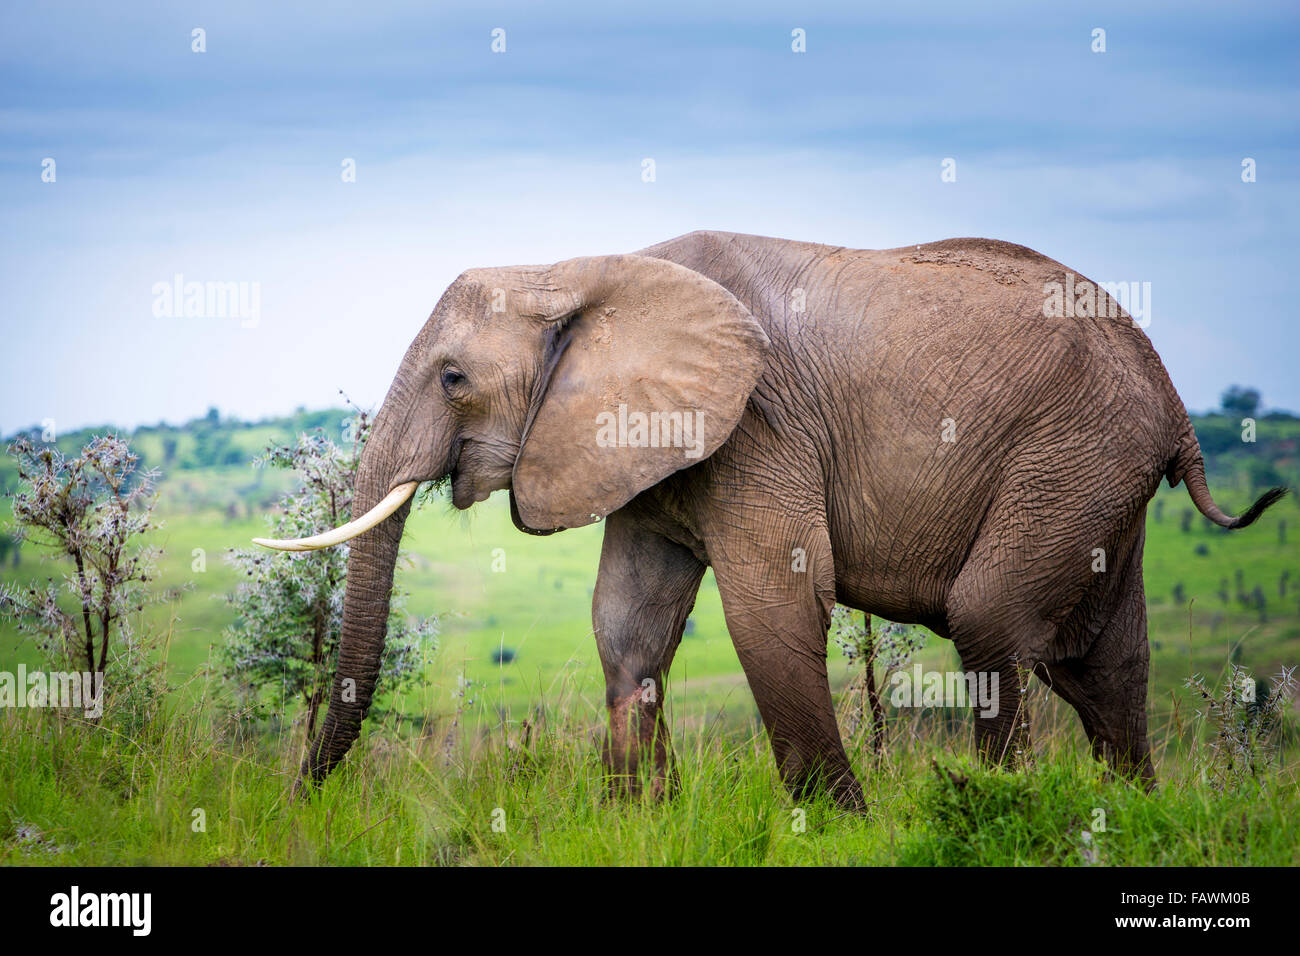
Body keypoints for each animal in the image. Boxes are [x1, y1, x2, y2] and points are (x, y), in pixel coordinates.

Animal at [258, 230, 1286, 809]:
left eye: (453, 379)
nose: (298, 803)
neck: (576, 268)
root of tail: (1173, 399)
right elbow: (627, 626)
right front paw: (638, 822)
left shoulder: (761, 424)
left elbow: (771, 609)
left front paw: (840, 826)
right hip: (1098, 475)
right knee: (1104, 664)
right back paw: (1137, 817)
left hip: (1072, 456)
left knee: (992, 621)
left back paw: (1006, 804)